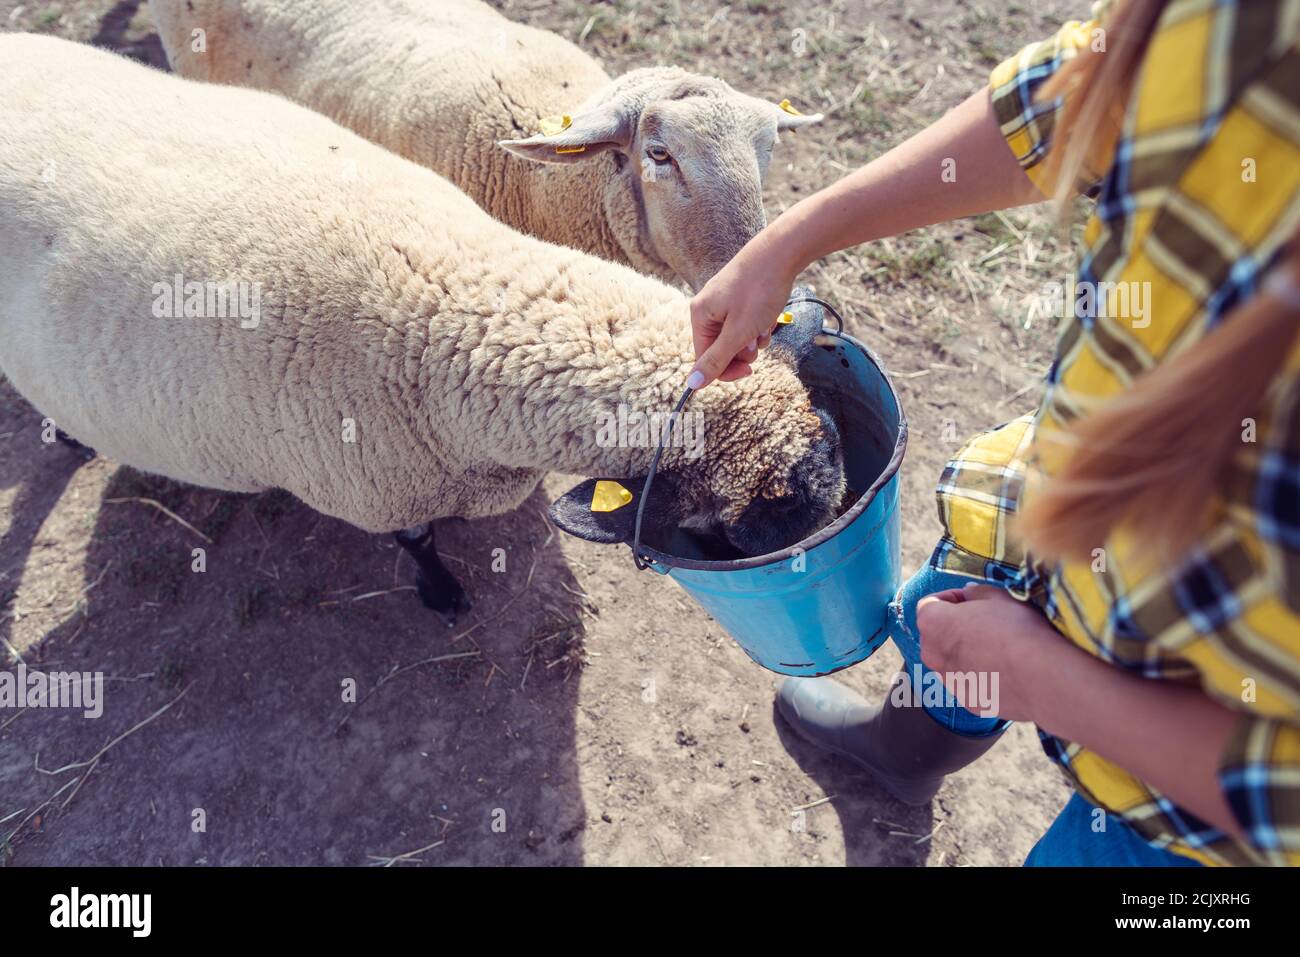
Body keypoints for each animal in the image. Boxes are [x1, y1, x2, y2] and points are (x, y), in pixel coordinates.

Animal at [0, 35, 844, 625]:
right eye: (741, 535)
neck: (451, 300)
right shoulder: (377, 490)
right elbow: (417, 542)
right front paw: (442, 593)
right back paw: (67, 435)